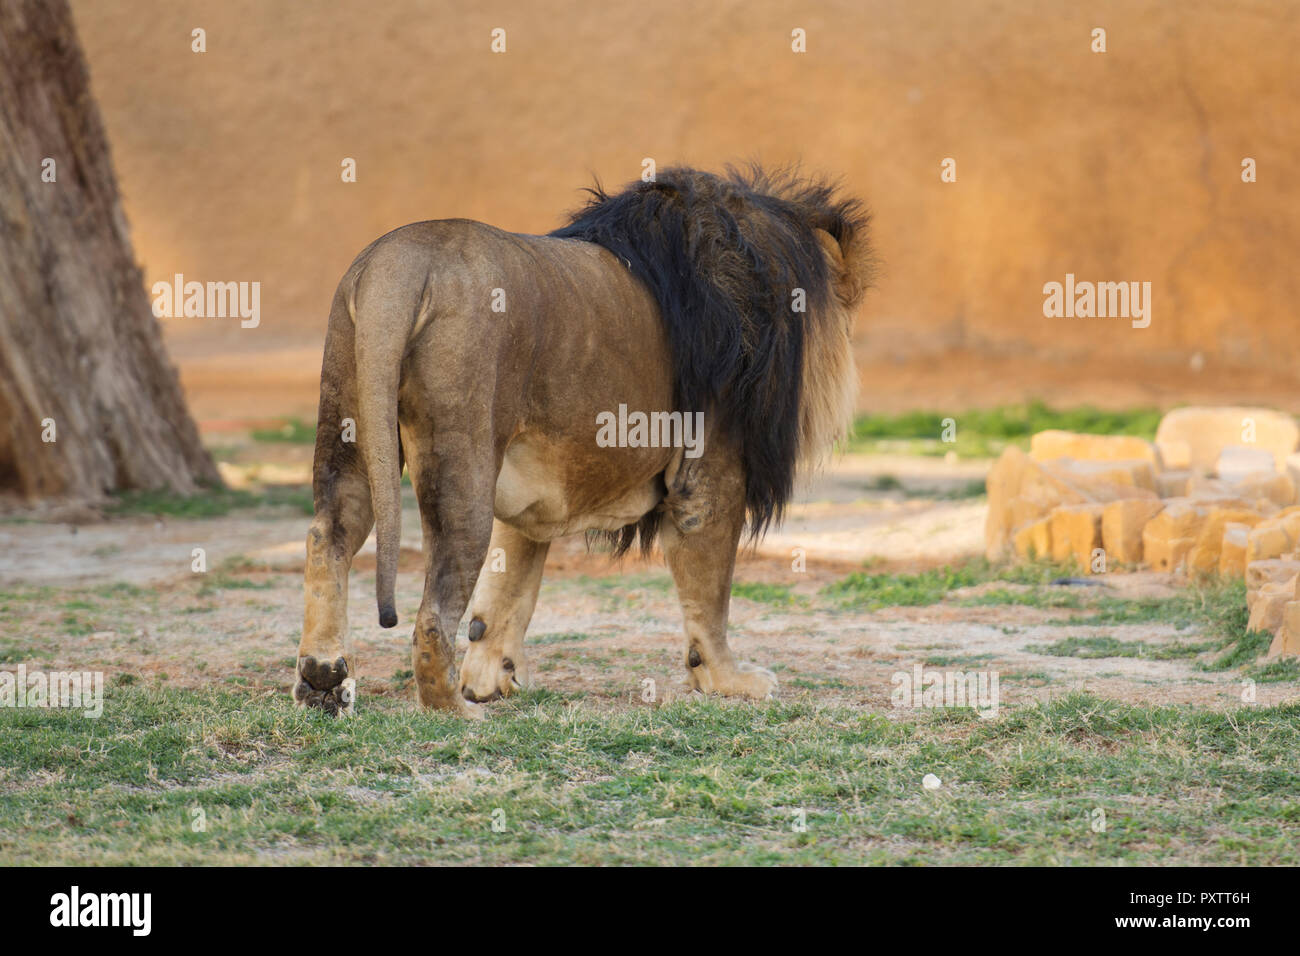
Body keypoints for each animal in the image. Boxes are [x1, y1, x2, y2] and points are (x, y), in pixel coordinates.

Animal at [293, 165, 872, 716]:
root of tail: (401, 263)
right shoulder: (709, 475)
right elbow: (710, 598)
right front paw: (729, 680)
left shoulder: (530, 491)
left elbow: (511, 586)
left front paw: (491, 675)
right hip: (463, 462)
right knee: (435, 610)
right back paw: (453, 712)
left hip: (350, 420)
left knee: (330, 536)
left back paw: (323, 679)